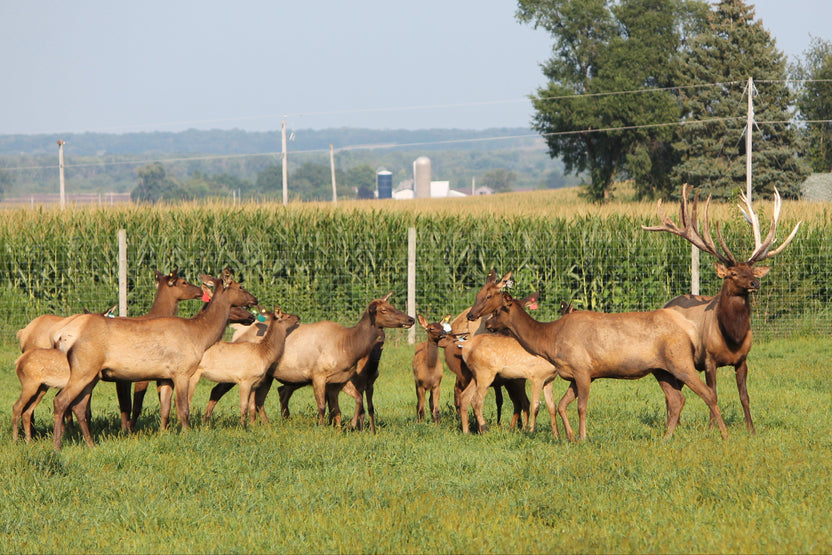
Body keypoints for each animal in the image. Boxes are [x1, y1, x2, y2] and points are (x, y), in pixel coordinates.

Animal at [49, 269, 257, 450]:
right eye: (240, 287)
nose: (254, 302)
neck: (200, 336)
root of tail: (60, 334)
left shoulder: (165, 376)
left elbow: (165, 408)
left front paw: (163, 434)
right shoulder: (181, 371)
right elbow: (183, 408)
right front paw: (187, 434)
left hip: (92, 373)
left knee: (79, 406)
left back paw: (91, 444)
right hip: (84, 366)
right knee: (60, 401)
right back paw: (57, 446)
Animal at [483, 291, 729, 441]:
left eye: (497, 310)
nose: (486, 324)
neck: (549, 341)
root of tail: (690, 329)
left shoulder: (583, 369)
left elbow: (581, 407)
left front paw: (582, 436)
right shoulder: (576, 375)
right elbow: (562, 404)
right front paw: (569, 436)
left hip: (680, 361)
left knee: (708, 393)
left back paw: (724, 434)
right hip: (662, 370)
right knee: (677, 399)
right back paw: (666, 437)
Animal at [642, 184, 801, 434]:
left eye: (752, 271)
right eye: (733, 273)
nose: (755, 283)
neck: (731, 336)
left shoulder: (743, 360)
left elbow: (745, 396)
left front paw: (751, 429)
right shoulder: (709, 359)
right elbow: (712, 393)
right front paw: (712, 428)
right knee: (671, 394)